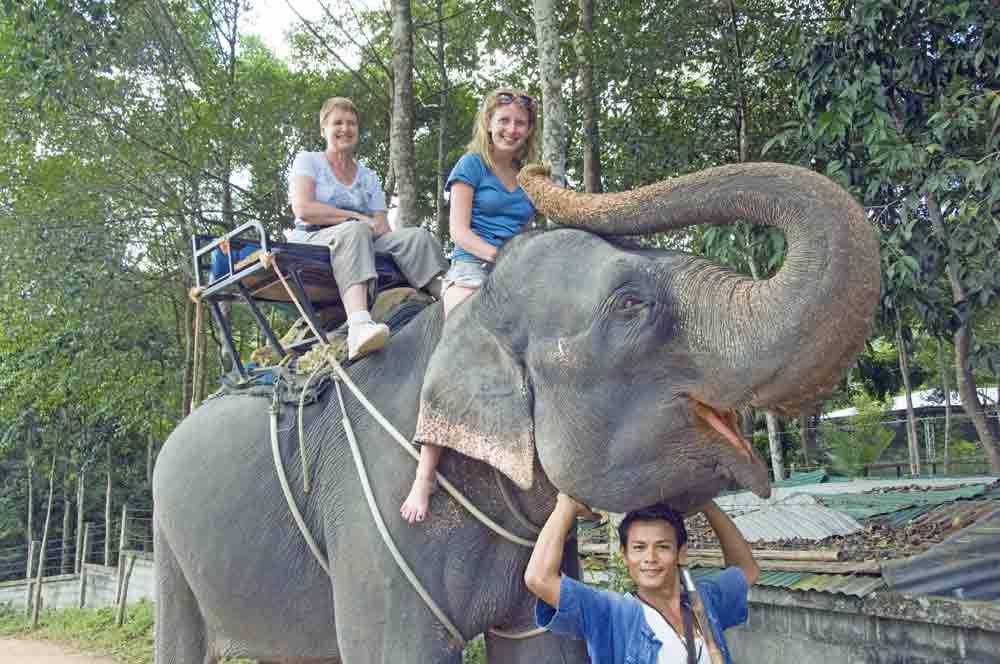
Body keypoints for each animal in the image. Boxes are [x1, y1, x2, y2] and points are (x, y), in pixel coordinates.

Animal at [152, 162, 879, 663]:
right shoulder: (376, 513)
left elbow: (546, 647)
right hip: (166, 536)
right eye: (630, 305)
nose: (534, 167)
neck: (462, 320)